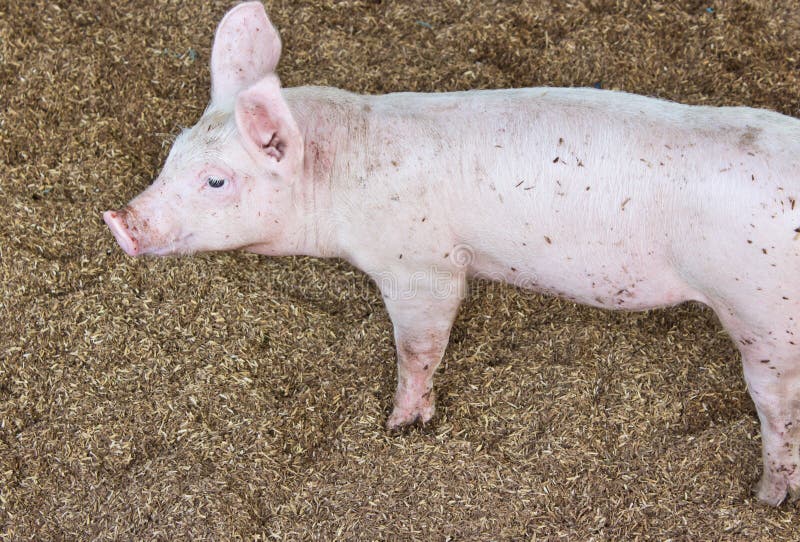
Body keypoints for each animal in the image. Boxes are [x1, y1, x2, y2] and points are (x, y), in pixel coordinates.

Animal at [103, 2, 800, 505]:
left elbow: (419, 346)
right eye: (173, 151)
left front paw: (400, 425)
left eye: (217, 181)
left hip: (762, 311)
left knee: (778, 409)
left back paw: (765, 498)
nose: (118, 222)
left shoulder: (422, 264)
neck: (339, 173)